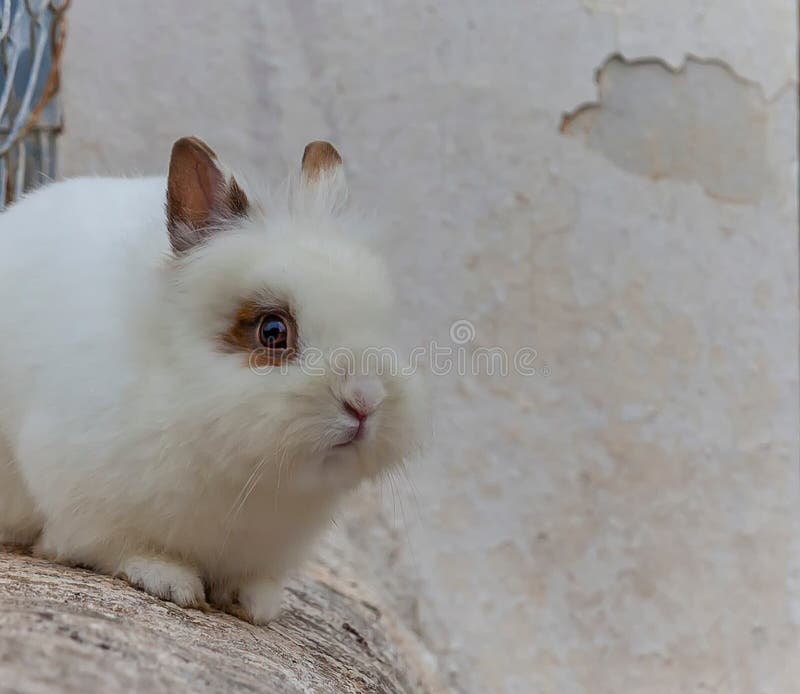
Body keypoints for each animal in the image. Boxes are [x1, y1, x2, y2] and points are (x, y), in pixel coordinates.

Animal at [0, 137, 426, 624]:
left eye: (383, 321)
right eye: (273, 331)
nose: (365, 401)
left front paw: (257, 604)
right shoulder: (82, 499)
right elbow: (115, 546)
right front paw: (171, 581)